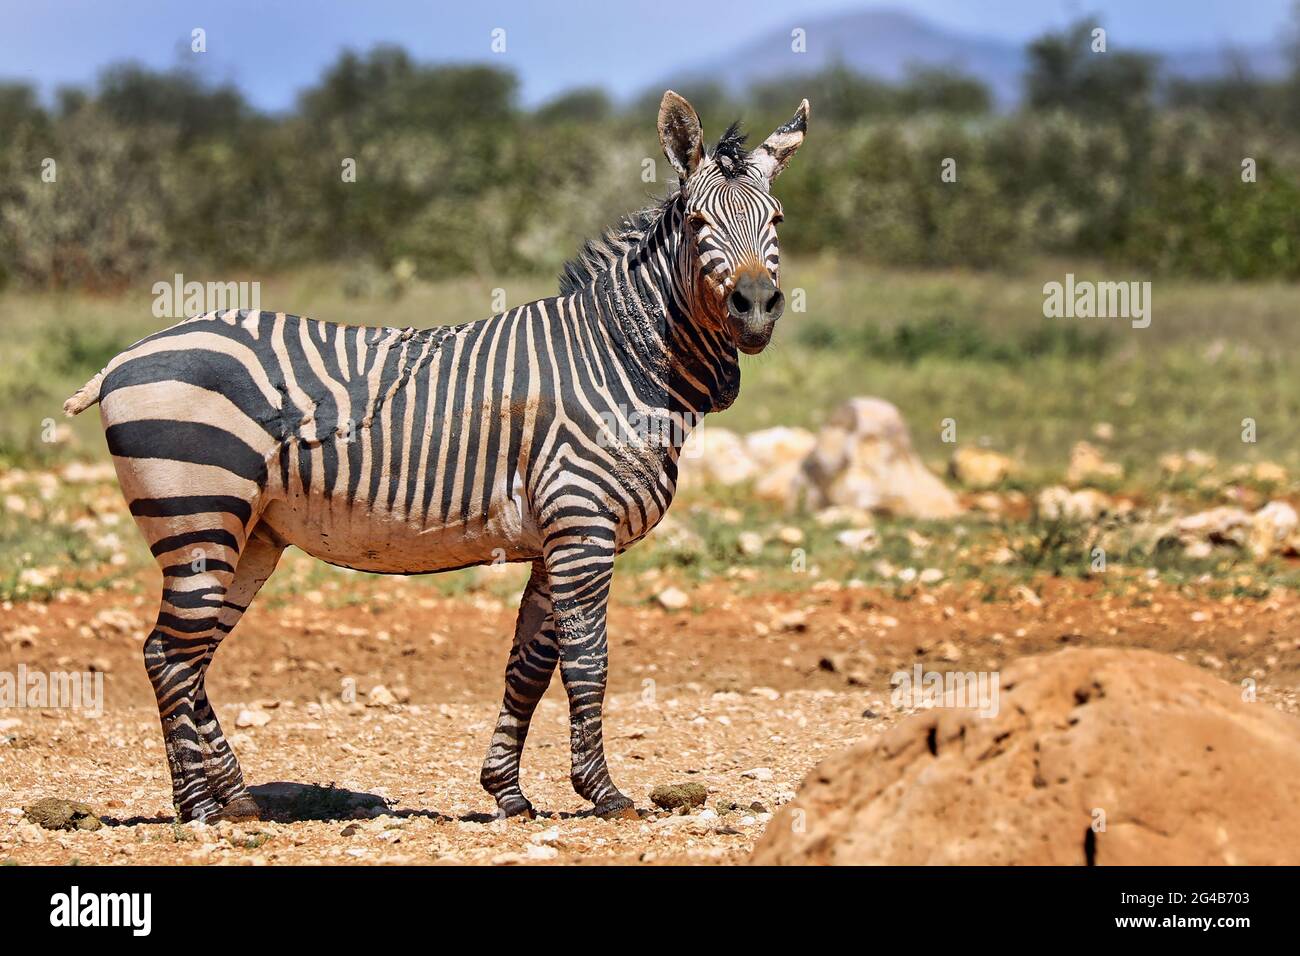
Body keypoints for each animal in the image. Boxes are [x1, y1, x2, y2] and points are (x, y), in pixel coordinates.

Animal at [63, 91, 809, 822]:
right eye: (698, 222)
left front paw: (507, 792)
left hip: (250, 536)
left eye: (776, 219)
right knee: (168, 654)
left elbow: (528, 667)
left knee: (192, 656)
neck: (619, 355)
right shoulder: (582, 527)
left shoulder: (552, 541)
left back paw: (238, 798)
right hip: (198, 513)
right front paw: (603, 794)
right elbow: (587, 662)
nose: (755, 306)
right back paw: (198, 810)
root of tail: (125, 357)